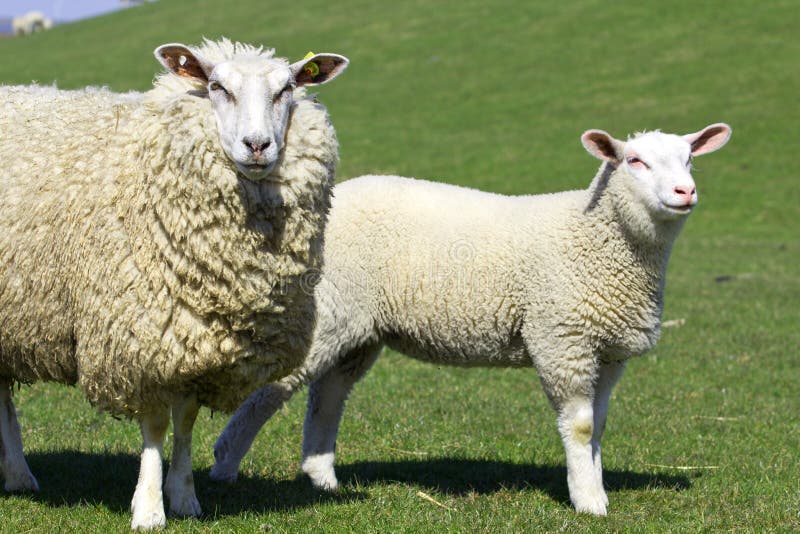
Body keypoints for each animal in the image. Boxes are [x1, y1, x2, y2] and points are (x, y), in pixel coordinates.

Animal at [0, 38, 348, 529]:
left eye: (287, 90)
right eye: (217, 87)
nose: (257, 145)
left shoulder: (200, 342)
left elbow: (185, 421)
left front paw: (184, 496)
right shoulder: (143, 336)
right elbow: (157, 425)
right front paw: (148, 508)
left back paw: (17, 475)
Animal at [212, 123, 732, 515]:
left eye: (689, 158)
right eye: (634, 161)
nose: (685, 191)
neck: (596, 238)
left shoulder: (605, 351)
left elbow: (599, 426)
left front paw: (594, 484)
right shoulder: (562, 338)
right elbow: (582, 427)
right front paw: (589, 502)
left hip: (359, 328)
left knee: (328, 395)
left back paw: (322, 478)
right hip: (325, 312)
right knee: (272, 389)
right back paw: (224, 467)